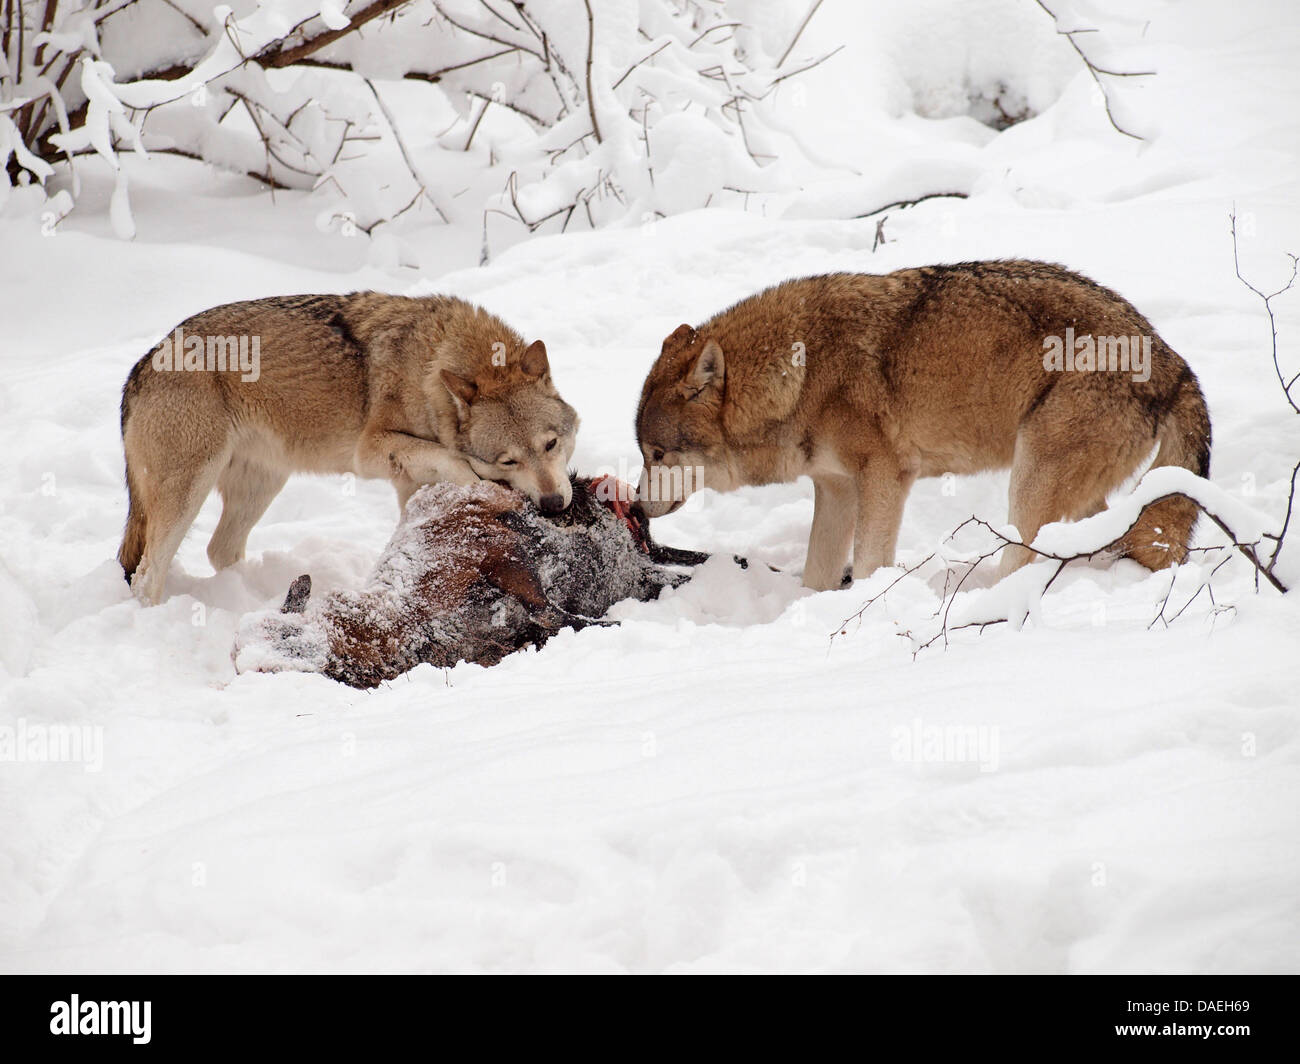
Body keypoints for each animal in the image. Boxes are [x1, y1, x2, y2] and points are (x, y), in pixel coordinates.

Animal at [117, 292, 578, 604]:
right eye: (509, 460)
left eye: (551, 444)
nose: (554, 504)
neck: (432, 364)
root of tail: (142, 365)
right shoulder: (370, 450)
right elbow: (453, 459)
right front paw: (476, 486)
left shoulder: (405, 483)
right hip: (190, 492)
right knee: (145, 577)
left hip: (262, 485)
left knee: (219, 550)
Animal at [233, 475, 709, 688]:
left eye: (286, 631)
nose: (258, 668)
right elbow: (555, 620)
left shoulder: (495, 550)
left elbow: (550, 609)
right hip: (634, 567)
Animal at [634, 261, 1211, 590]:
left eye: (657, 454)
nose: (636, 506)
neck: (800, 373)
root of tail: (1172, 359)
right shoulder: (836, 487)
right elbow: (817, 574)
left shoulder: (885, 477)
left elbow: (869, 564)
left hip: (1029, 484)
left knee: (1027, 558)